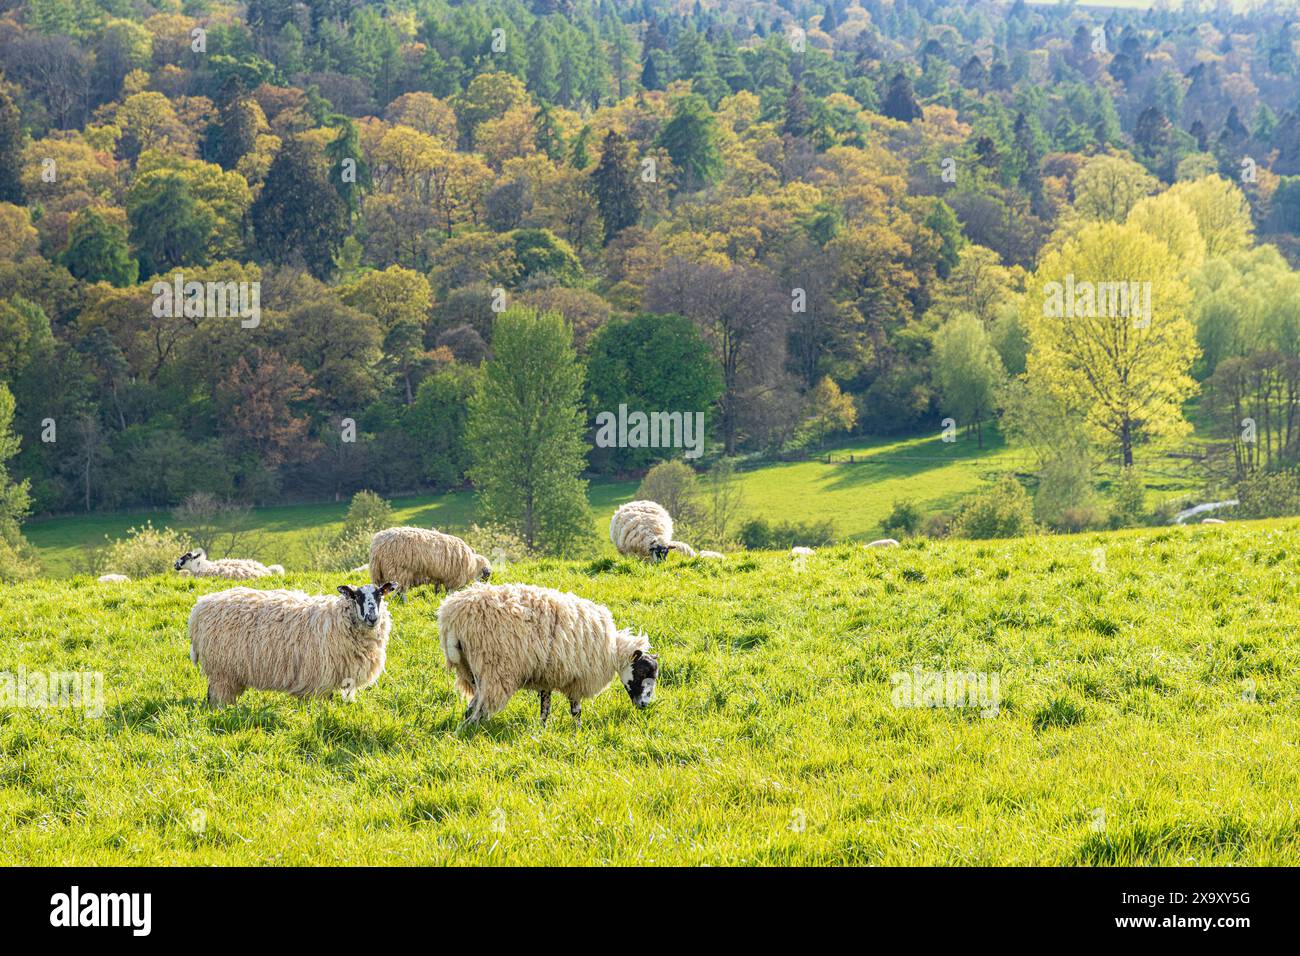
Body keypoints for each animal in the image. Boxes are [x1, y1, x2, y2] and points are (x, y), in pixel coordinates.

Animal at [188, 582, 397, 707]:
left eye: (380, 595)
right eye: (356, 596)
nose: (372, 618)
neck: (340, 619)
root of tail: (199, 607)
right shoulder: (321, 676)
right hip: (222, 669)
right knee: (218, 696)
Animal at [437, 582, 660, 727]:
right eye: (642, 673)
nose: (644, 705)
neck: (612, 650)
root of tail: (452, 617)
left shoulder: (547, 675)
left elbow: (545, 707)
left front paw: (542, 730)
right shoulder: (577, 677)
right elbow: (575, 710)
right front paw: (578, 731)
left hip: (469, 668)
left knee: (472, 706)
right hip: (493, 666)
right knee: (479, 707)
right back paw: (471, 731)